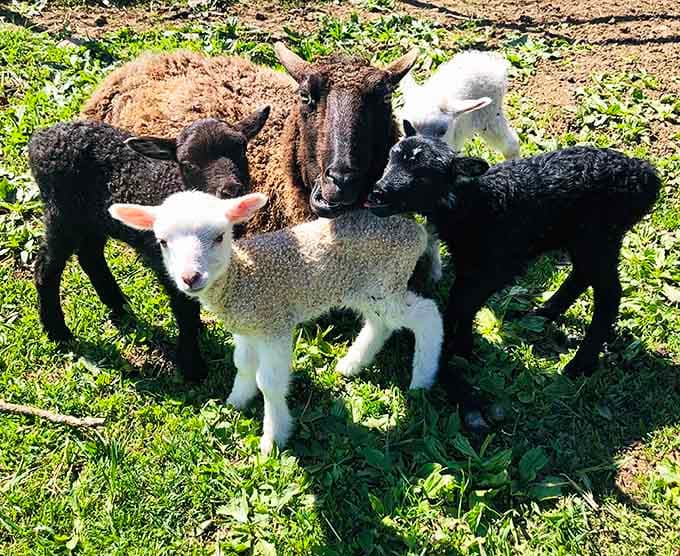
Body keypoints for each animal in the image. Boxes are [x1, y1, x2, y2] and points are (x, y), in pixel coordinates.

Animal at [29, 108, 270, 381]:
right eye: (187, 163)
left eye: (241, 149)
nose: (231, 190)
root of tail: (41, 137)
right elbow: (184, 310)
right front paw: (192, 367)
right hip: (62, 214)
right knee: (47, 267)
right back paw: (58, 331)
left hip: (95, 219)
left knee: (90, 256)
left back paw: (120, 307)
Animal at [109, 191, 443, 454]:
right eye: (163, 242)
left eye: (219, 236)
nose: (190, 278)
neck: (242, 278)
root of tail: (414, 228)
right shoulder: (248, 328)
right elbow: (243, 364)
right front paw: (236, 400)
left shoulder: (275, 325)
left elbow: (269, 383)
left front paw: (273, 437)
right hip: (367, 288)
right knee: (380, 324)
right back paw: (352, 364)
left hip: (387, 281)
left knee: (428, 316)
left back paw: (421, 379)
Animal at [366, 127, 660, 430]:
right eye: (391, 157)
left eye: (423, 176)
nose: (377, 194)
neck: (477, 205)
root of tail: (648, 176)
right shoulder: (470, 263)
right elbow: (461, 302)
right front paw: (458, 349)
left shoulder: (498, 264)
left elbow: (463, 302)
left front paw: (457, 352)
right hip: (587, 239)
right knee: (583, 275)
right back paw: (544, 313)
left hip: (599, 235)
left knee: (609, 293)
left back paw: (580, 364)